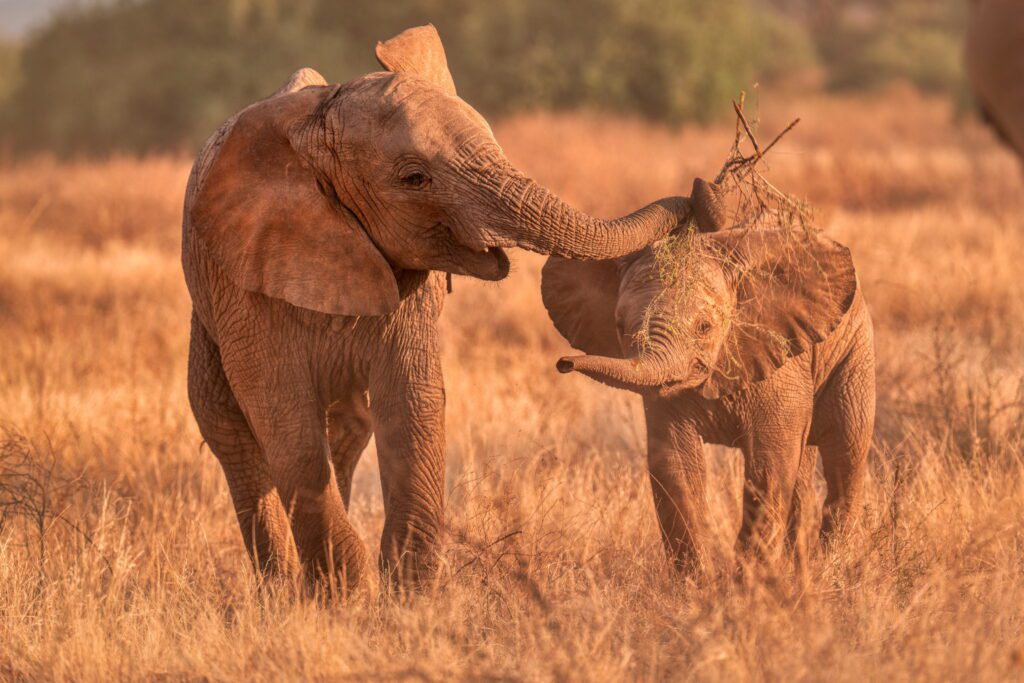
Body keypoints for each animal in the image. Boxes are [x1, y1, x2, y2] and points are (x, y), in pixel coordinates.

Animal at [182, 25, 695, 593]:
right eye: (414, 179)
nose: (698, 193)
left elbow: (412, 403)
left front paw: (407, 594)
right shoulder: (247, 286)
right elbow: (285, 420)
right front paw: (348, 594)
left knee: (347, 427)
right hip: (208, 310)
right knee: (231, 431)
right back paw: (277, 589)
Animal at [542, 191, 875, 575]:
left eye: (704, 327)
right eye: (620, 327)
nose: (563, 363)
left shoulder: (780, 359)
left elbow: (768, 465)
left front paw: (748, 583)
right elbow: (677, 466)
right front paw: (697, 584)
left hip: (854, 349)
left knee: (845, 454)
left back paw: (827, 571)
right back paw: (796, 572)